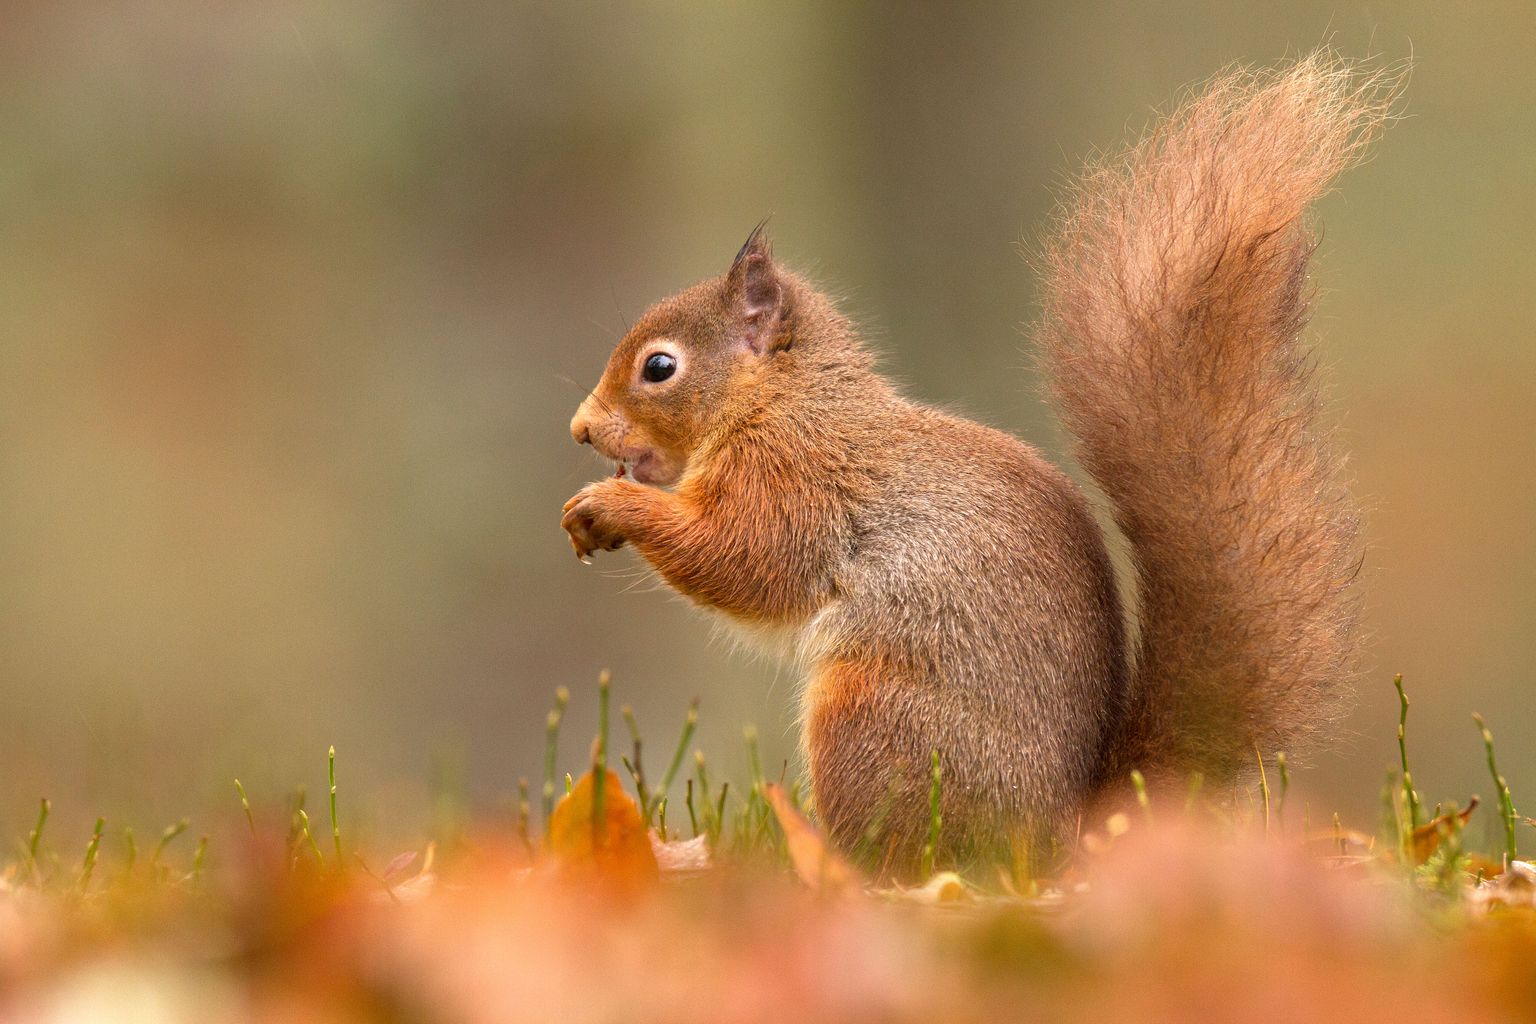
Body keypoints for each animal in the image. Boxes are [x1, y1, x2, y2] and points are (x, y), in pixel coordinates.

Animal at [563, 55, 1395, 868]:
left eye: (660, 368)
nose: (580, 429)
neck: (780, 399)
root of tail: (1057, 836)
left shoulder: (792, 476)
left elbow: (744, 560)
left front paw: (610, 507)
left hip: (876, 721)